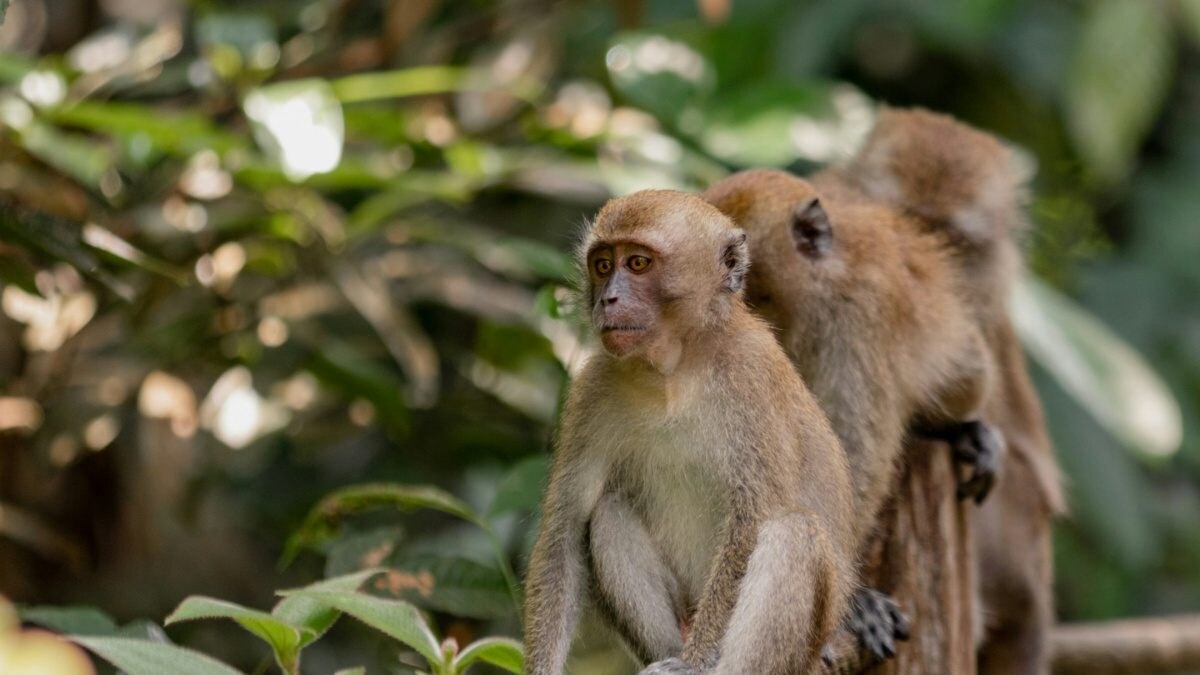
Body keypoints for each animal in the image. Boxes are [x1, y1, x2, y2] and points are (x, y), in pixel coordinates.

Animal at [522, 189, 858, 675]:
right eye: (603, 265)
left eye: (638, 263)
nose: (608, 299)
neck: (674, 370)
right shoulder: (592, 388)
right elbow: (564, 532)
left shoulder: (752, 374)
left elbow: (750, 521)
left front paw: (697, 663)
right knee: (607, 512)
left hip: (799, 652)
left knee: (794, 533)